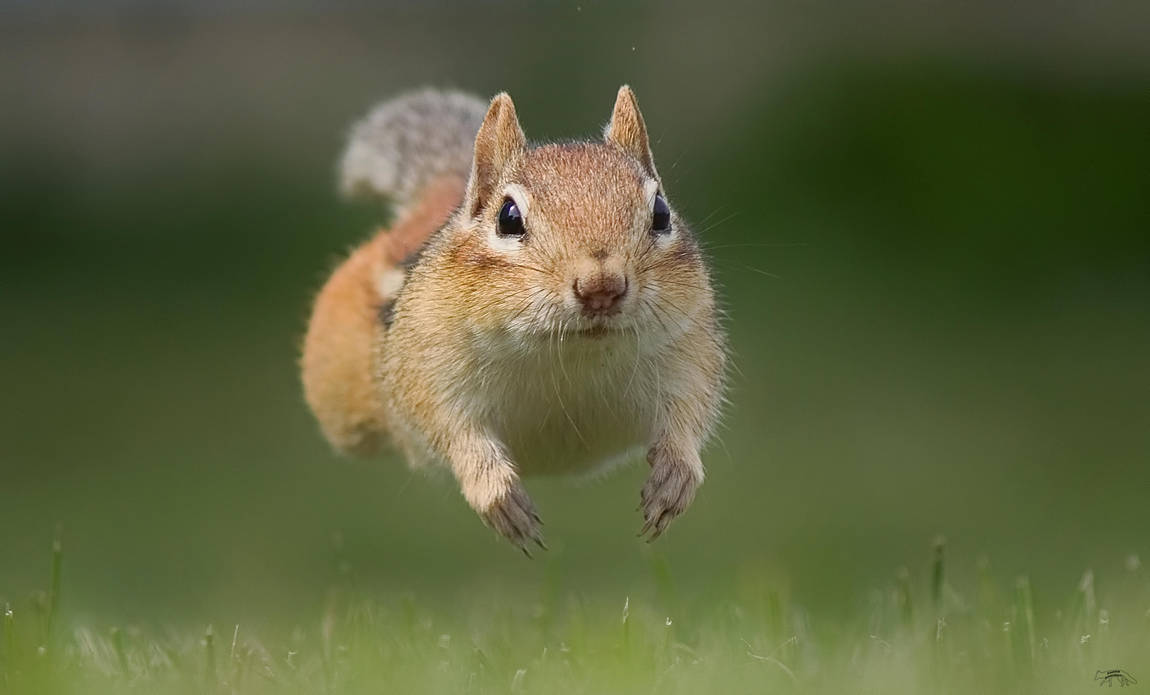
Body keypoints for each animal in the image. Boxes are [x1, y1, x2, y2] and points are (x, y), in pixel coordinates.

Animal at [301, 86, 727, 553]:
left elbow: (688, 414)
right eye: (508, 217)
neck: (569, 354)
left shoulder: (689, 349)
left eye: (662, 212)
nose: (601, 287)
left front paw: (675, 477)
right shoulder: (427, 367)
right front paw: (499, 497)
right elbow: (453, 430)